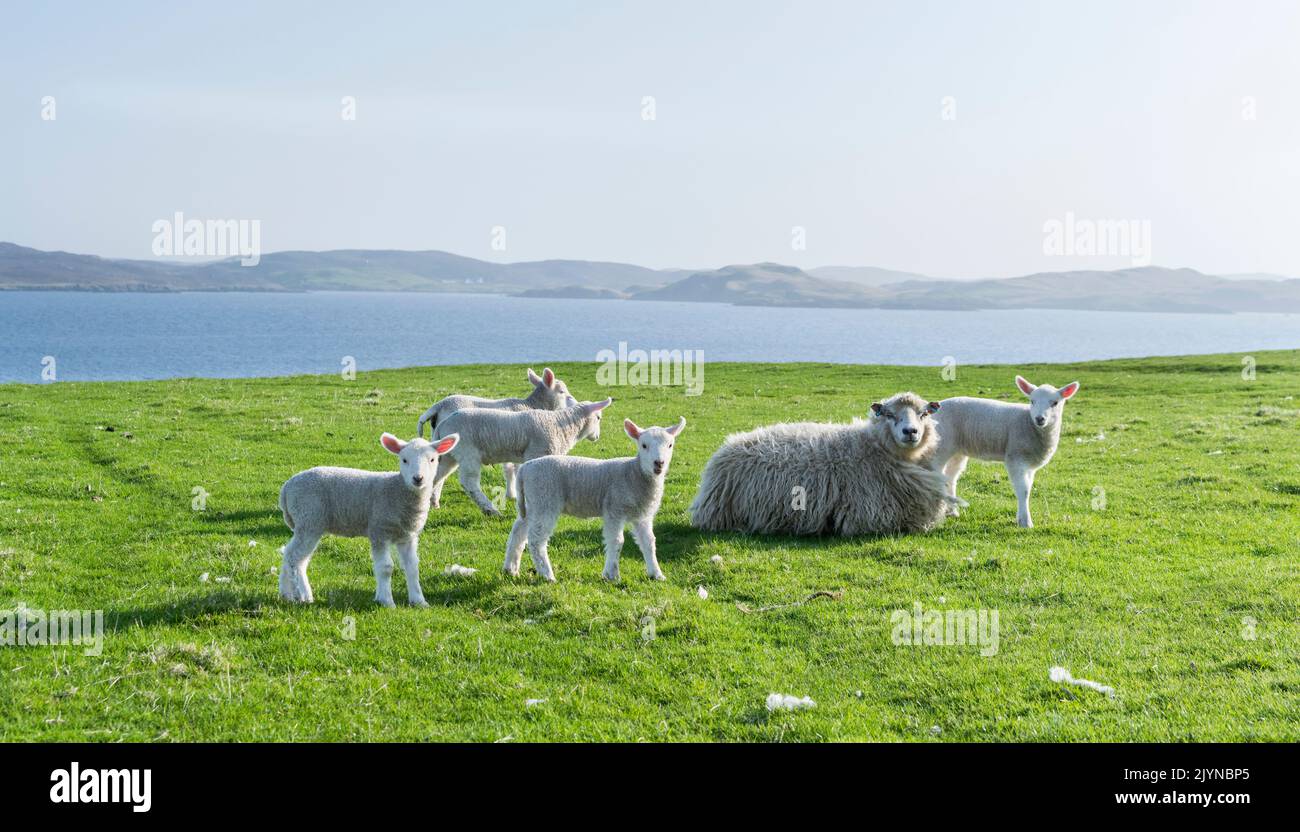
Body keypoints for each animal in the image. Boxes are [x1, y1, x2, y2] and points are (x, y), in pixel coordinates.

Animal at [277, 432, 459, 607]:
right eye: (404, 460)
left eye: (432, 459)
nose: (418, 478)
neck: (398, 490)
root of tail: (286, 487)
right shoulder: (379, 530)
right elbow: (386, 567)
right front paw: (386, 601)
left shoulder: (407, 536)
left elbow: (413, 567)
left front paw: (419, 601)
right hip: (309, 518)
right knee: (295, 558)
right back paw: (302, 595)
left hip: (307, 522)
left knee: (290, 554)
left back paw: (286, 594)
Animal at [415, 367, 571, 499]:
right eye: (562, 392)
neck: (532, 405)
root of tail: (438, 405)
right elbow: (515, 469)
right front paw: (514, 494)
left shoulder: (510, 445)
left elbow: (508, 470)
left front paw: (510, 495)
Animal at [430, 396, 613, 517]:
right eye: (598, 417)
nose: (597, 437)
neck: (562, 427)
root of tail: (442, 424)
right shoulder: (537, 453)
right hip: (468, 452)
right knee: (469, 482)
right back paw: (490, 510)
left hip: (449, 456)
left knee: (437, 476)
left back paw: (432, 502)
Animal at [505, 417, 686, 582]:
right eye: (644, 445)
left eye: (670, 445)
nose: (659, 463)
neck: (634, 473)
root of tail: (526, 468)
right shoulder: (614, 509)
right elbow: (617, 541)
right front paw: (612, 575)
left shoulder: (642, 515)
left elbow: (649, 542)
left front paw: (656, 574)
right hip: (545, 499)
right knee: (537, 541)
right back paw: (547, 575)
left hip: (533, 503)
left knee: (518, 531)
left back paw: (510, 568)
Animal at [930, 376, 1079, 528]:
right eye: (1032, 401)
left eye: (1055, 403)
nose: (1039, 418)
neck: (1029, 423)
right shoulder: (1015, 457)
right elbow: (1023, 490)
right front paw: (1026, 522)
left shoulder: (1029, 464)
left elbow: (1028, 488)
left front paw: (1020, 518)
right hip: (940, 446)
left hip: (957, 451)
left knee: (950, 477)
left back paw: (952, 511)